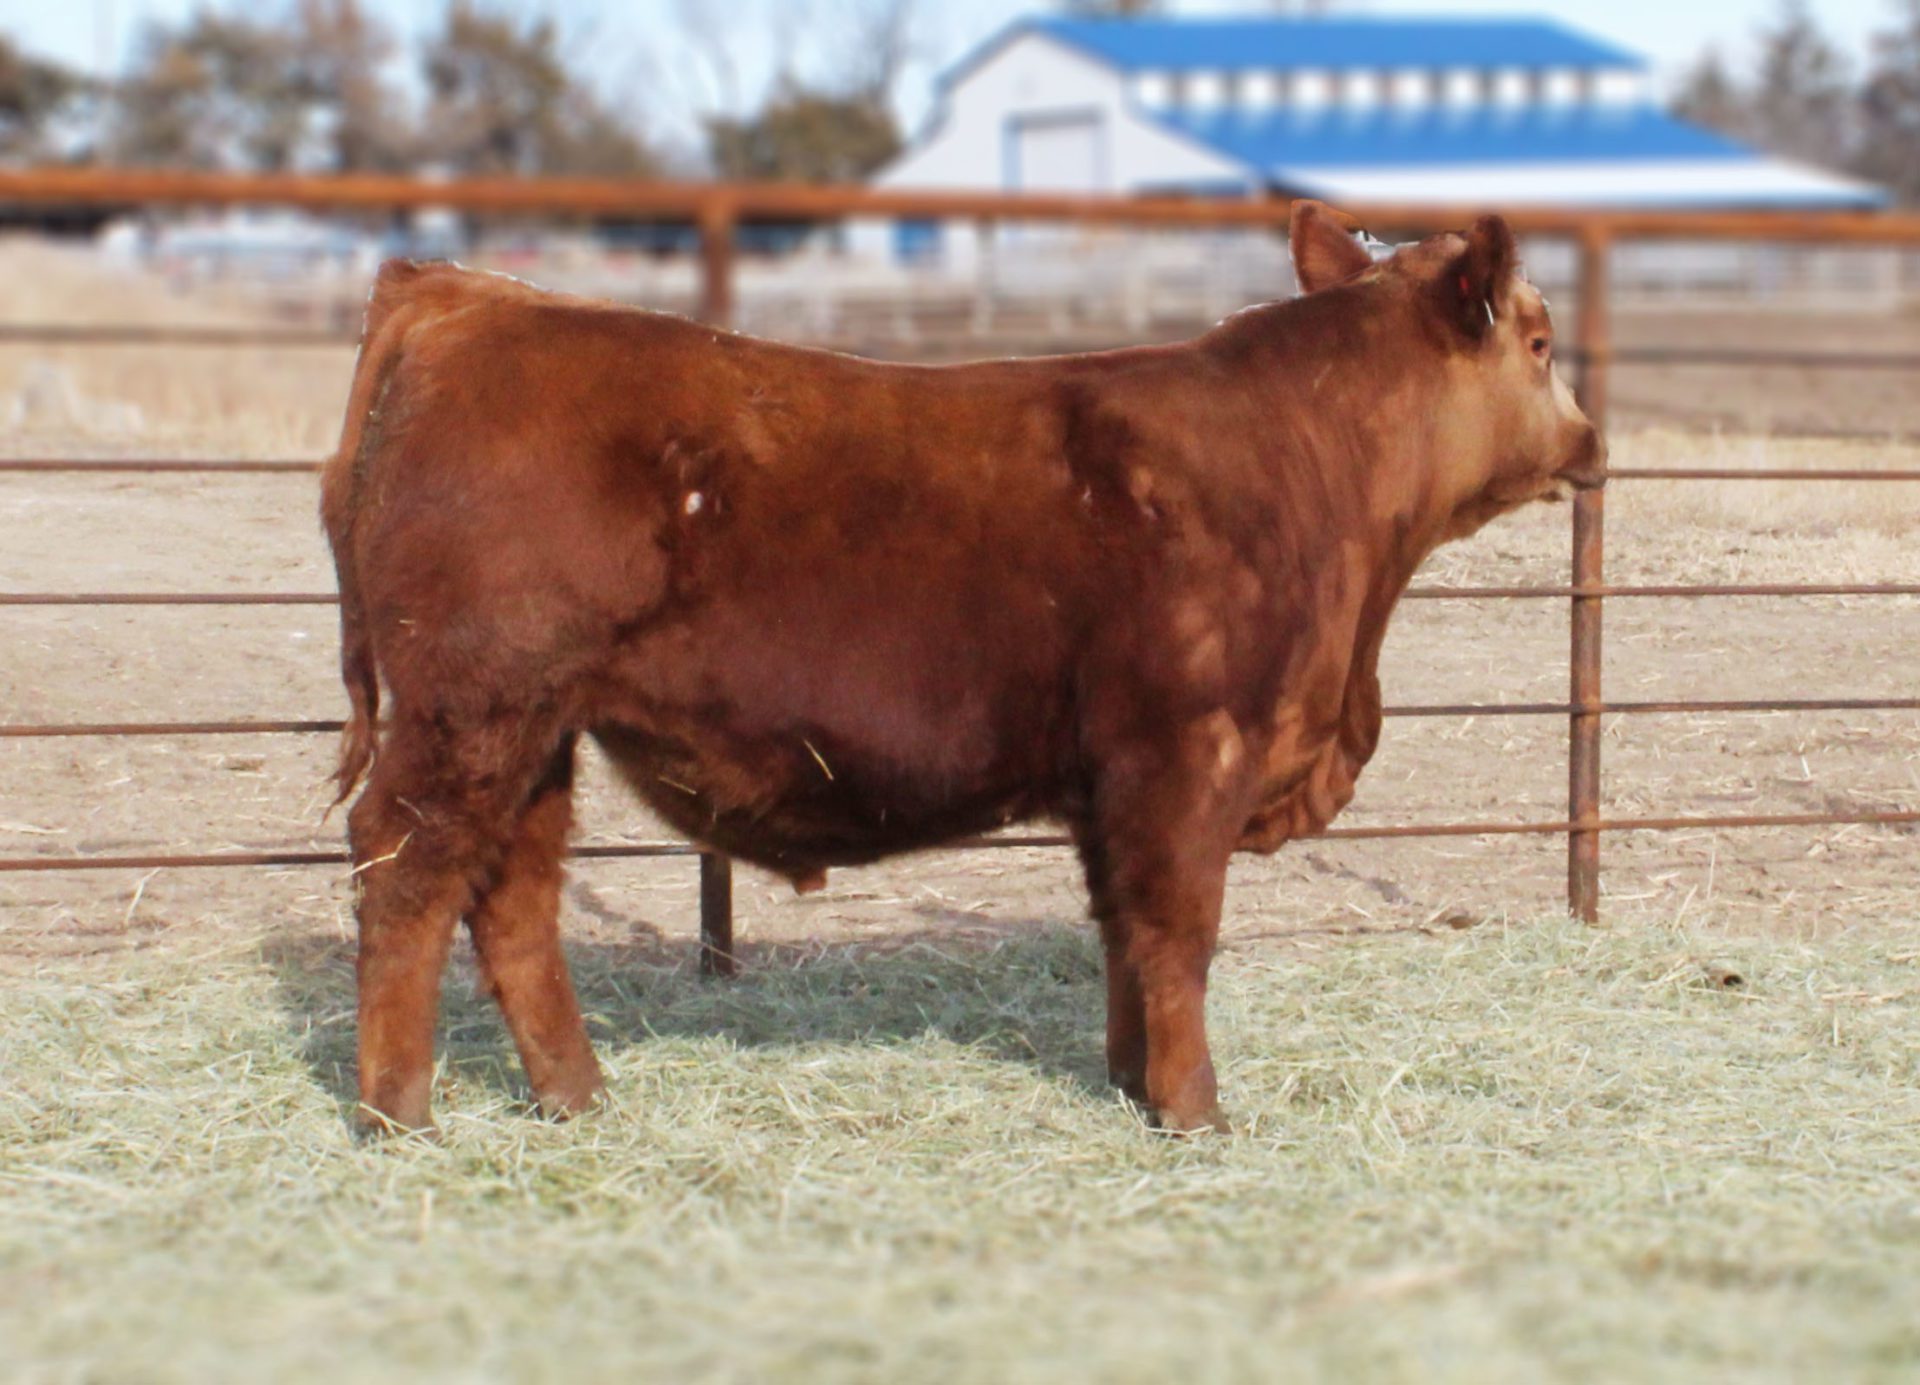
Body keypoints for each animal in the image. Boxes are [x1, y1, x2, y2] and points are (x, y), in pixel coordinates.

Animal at [321, 200, 1604, 1138]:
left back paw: (577, 1098)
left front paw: (1133, 1081)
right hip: (468, 711)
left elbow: (1123, 934)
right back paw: (399, 1114)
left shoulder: (1113, 783)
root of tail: (466, 300)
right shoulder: (1185, 752)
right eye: (1542, 343)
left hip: (534, 730)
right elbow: (1178, 931)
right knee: (405, 876)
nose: (1594, 440)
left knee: (512, 898)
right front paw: (1196, 1111)